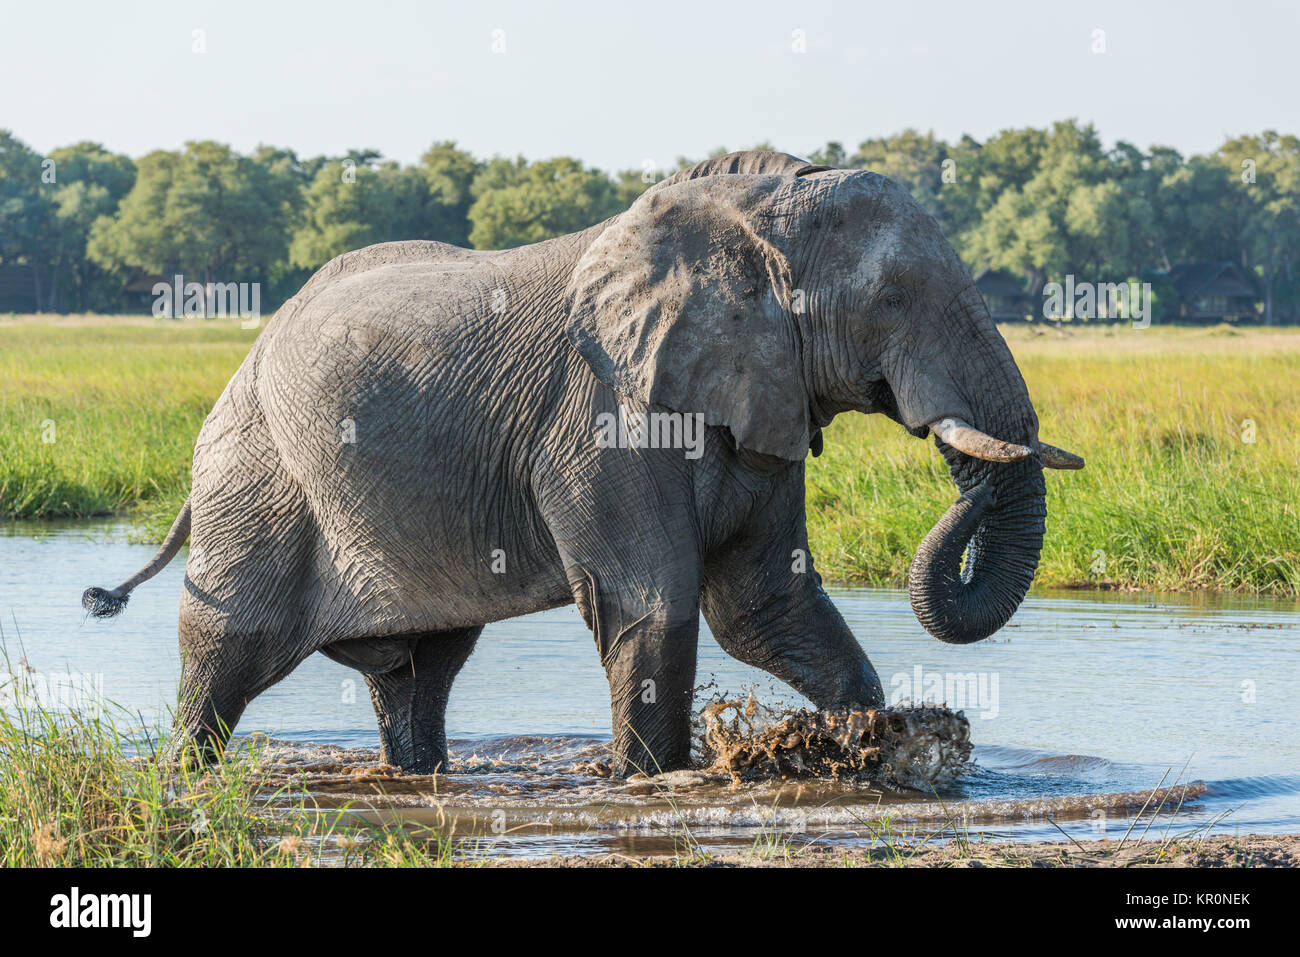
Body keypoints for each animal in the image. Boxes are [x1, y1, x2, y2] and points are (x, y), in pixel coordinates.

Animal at [83, 150, 1083, 777]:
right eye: (893, 298)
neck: (749, 204)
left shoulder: (760, 390)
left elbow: (764, 603)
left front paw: (866, 743)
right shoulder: (599, 417)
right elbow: (657, 603)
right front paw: (644, 783)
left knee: (421, 672)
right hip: (255, 473)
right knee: (226, 651)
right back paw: (184, 777)